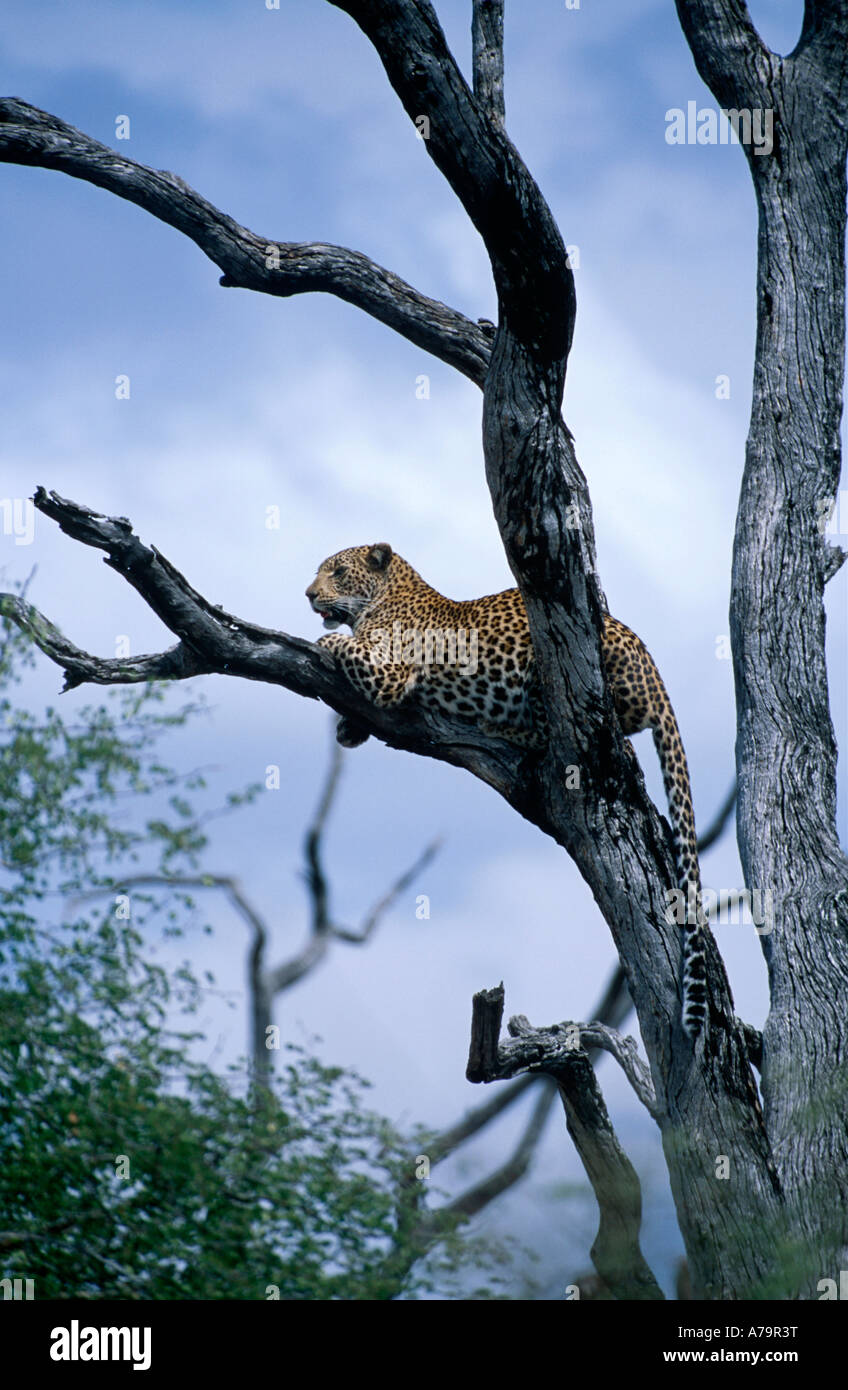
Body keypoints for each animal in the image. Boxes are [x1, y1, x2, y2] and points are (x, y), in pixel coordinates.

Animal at [306, 541, 707, 1038]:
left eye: (338, 572)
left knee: (558, 732)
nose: (308, 595)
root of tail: (652, 670)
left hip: (544, 670)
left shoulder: (392, 671)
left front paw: (324, 646)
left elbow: (349, 650)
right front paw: (348, 728)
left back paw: (503, 727)